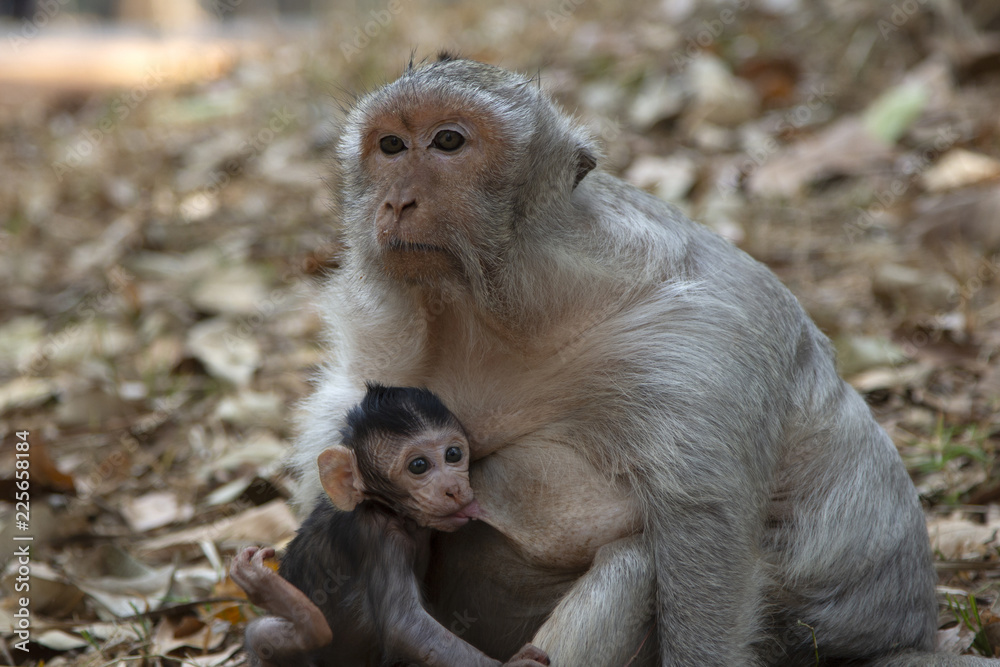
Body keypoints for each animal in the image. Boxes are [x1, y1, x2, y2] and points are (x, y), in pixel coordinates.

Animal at [231, 382, 550, 667]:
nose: (453, 489)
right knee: (265, 635)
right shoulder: (379, 537)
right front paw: (512, 665)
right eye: (419, 466)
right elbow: (404, 627)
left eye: (453, 454)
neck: (387, 509)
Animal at [287, 54, 999, 666]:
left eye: (447, 142)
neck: (497, 310)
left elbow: (704, 533)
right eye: (390, 147)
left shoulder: (697, 347)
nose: (397, 201)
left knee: (637, 564)